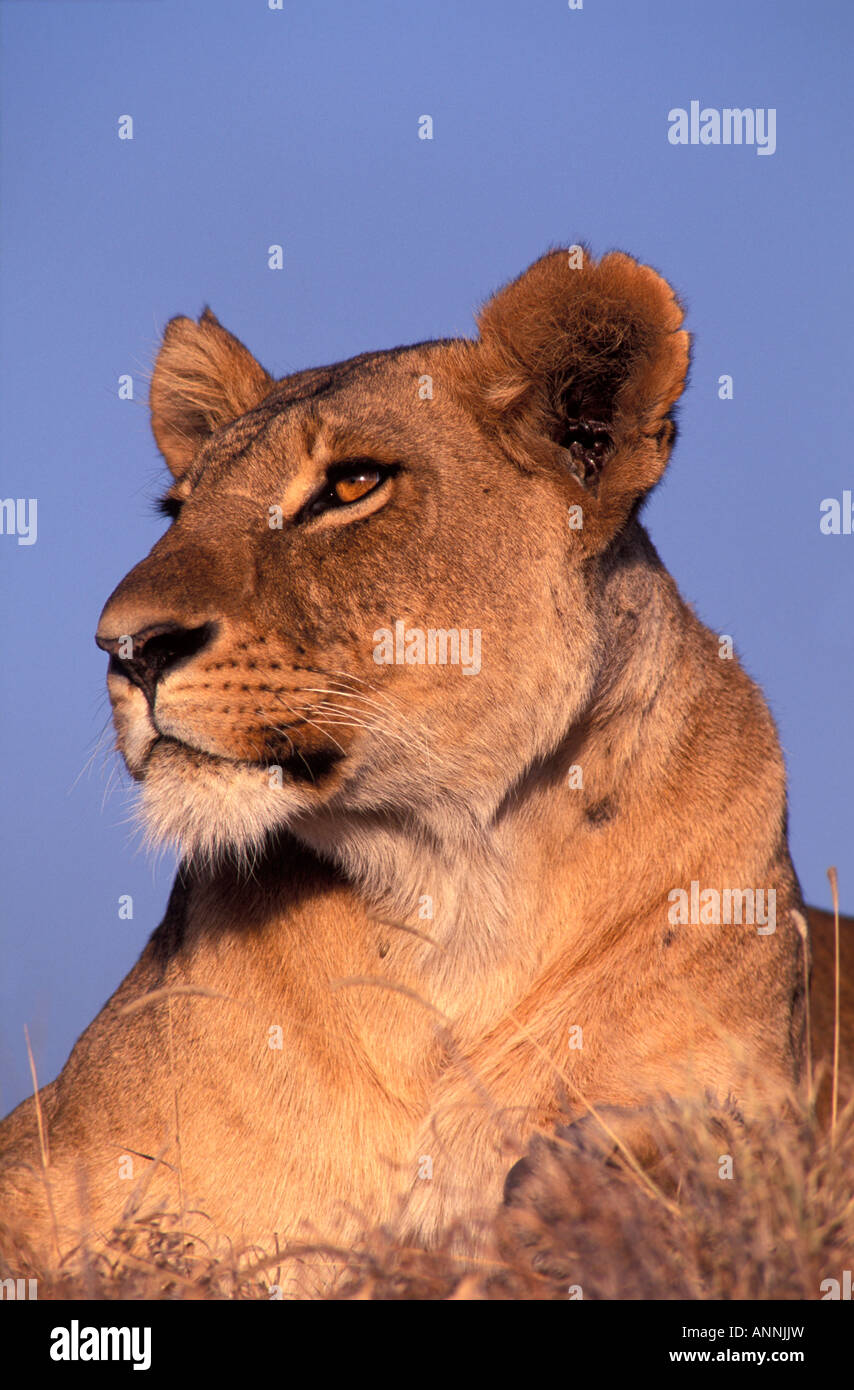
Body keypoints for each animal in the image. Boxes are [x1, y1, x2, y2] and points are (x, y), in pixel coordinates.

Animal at [1, 247, 850, 1283]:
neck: (452, 883)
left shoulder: (762, 1112)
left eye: (352, 485)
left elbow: (693, 1160)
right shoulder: (46, 1159)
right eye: (178, 508)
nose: (126, 647)